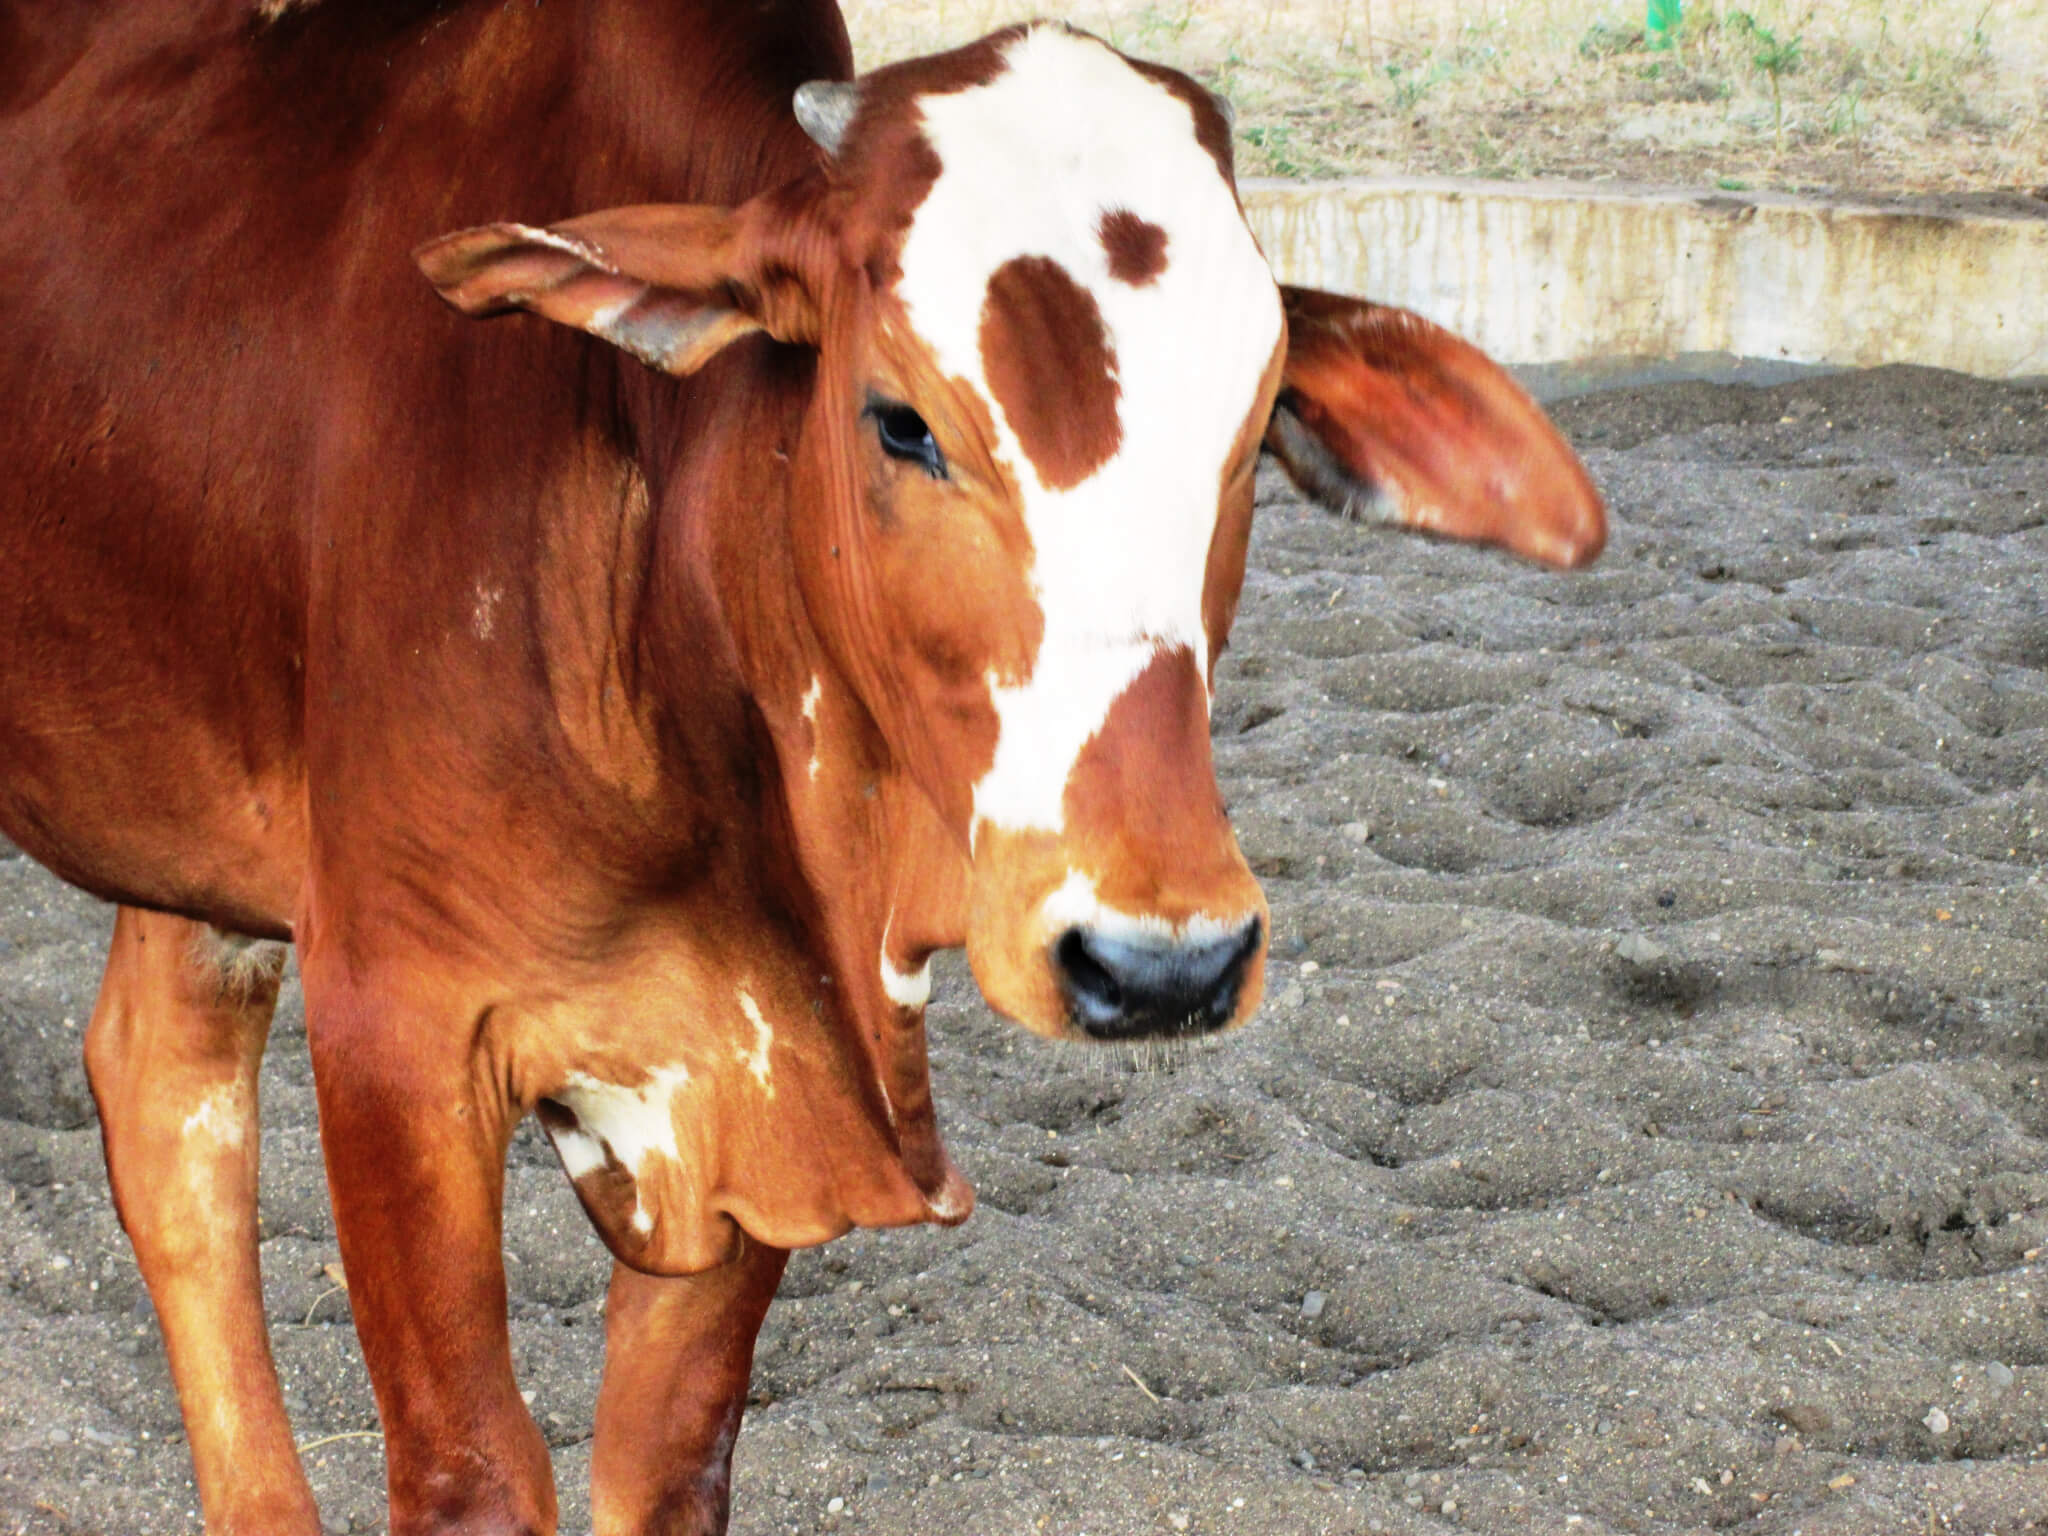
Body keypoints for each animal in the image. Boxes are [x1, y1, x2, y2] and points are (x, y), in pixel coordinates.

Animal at [0, 2, 1603, 1532]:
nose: (1161, 965)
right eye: (899, 420)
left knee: (164, 1088)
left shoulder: (765, 1087)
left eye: (1256, 428)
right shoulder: (396, 1031)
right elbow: (472, 1474)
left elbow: (668, 1463)